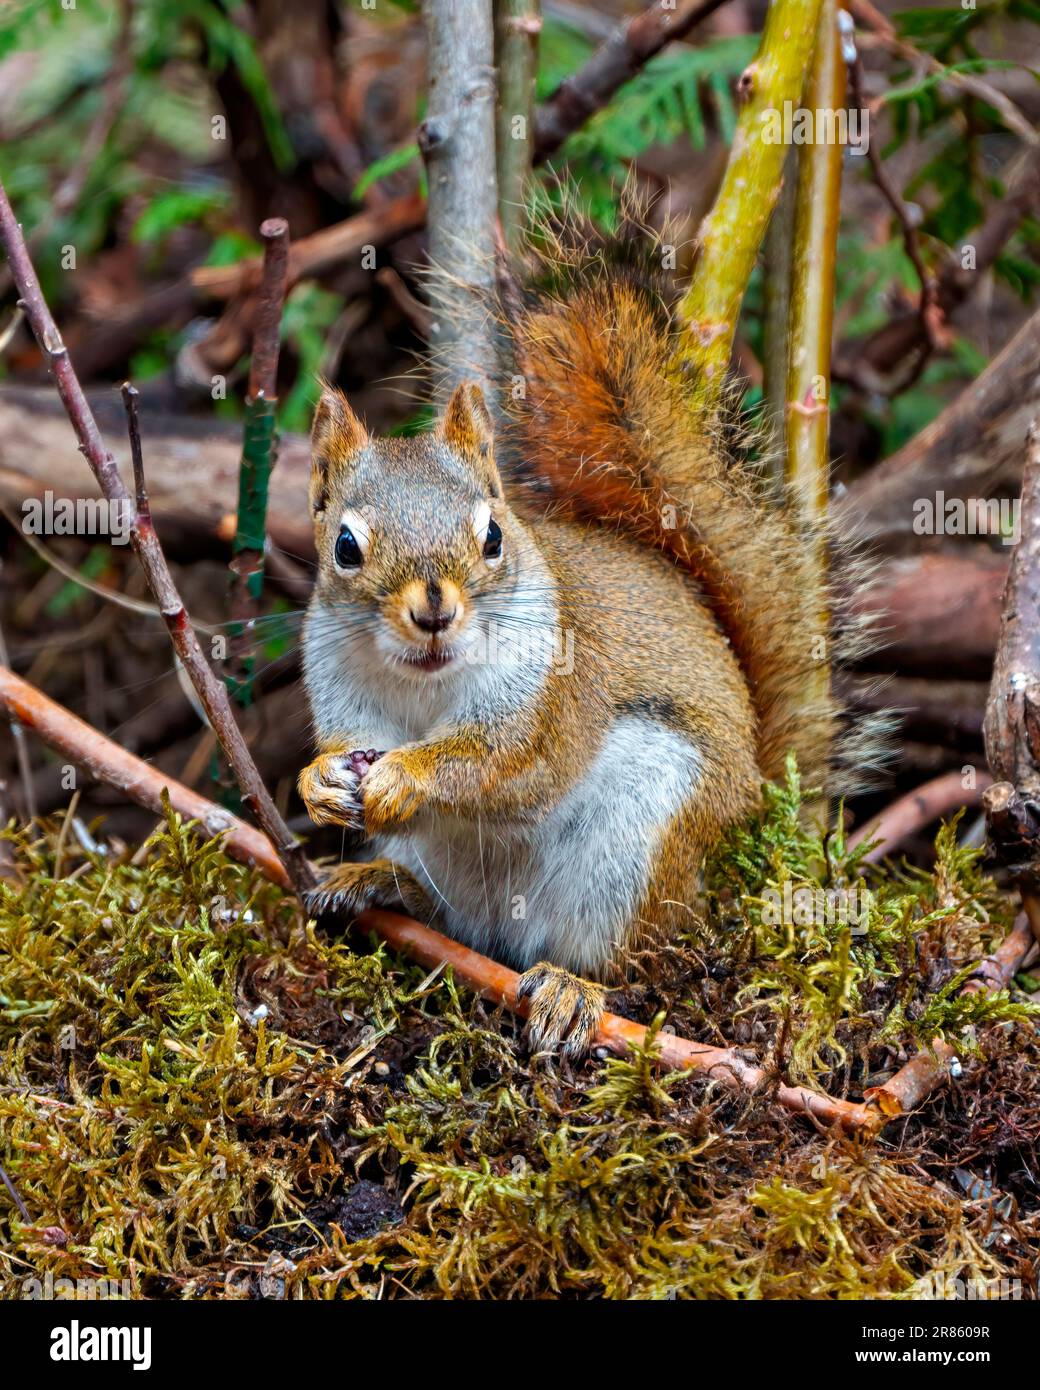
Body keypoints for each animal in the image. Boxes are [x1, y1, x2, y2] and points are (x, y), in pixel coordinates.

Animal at [297, 225, 871, 1058]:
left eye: (494, 536)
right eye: (345, 546)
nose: (433, 611)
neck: (424, 683)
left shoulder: (556, 691)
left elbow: (509, 764)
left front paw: (410, 776)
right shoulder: (342, 689)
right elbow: (342, 749)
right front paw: (317, 784)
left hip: (636, 847)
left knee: (637, 959)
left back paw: (574, 989)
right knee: (450, 916)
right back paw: (381, 885)